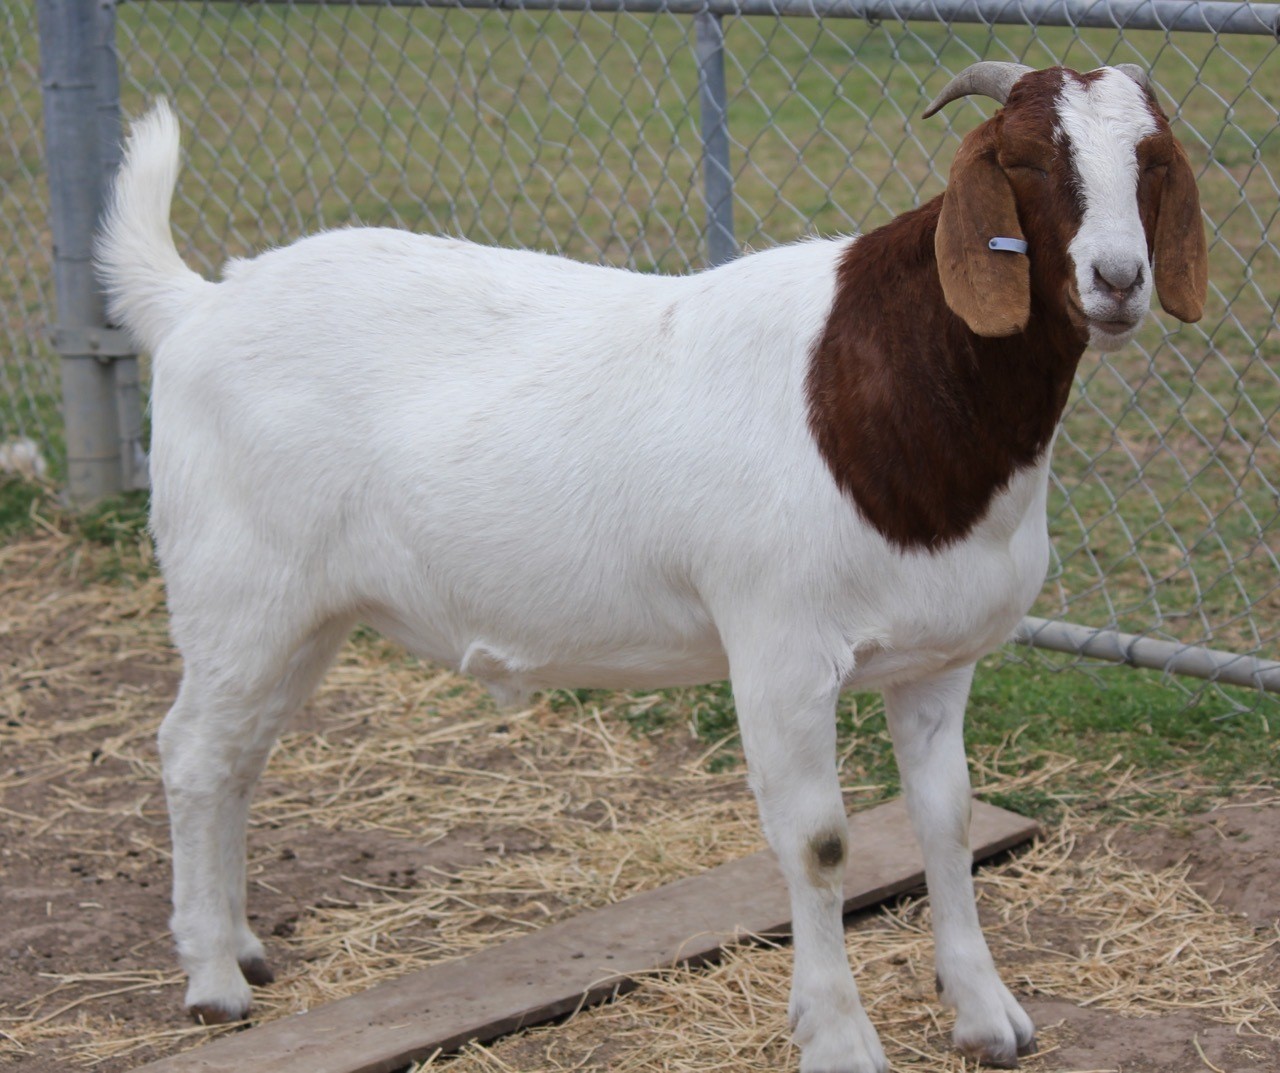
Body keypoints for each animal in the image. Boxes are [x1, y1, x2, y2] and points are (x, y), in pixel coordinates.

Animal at [97, 63, 1205, 1072]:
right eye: (1022, 161)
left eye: (1151, 159)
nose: (1116, 279)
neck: (887, 385)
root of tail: (197, 305)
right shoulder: (778, 648)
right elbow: (818, 842)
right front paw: (839, 1041)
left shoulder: (940, 659)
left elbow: (947, 819)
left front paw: (986, 1016)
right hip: (238, 587)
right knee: (191, 751)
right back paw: (213, 980)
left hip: (304, 613)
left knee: (239, 758)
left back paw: (242, 943)